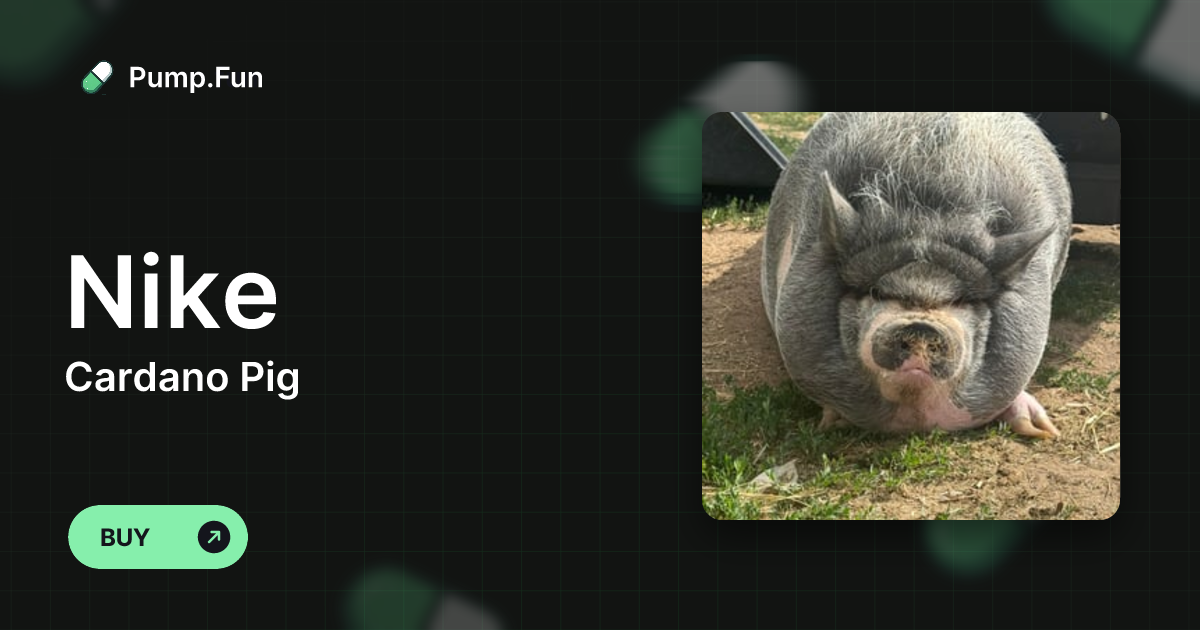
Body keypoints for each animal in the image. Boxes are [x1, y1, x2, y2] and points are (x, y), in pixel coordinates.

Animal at [761, 112, 1072, 438]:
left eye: (960, 301)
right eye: (876, 293)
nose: (921, 328)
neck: (926, 218)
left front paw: (1045, 431)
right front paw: (830, 422)